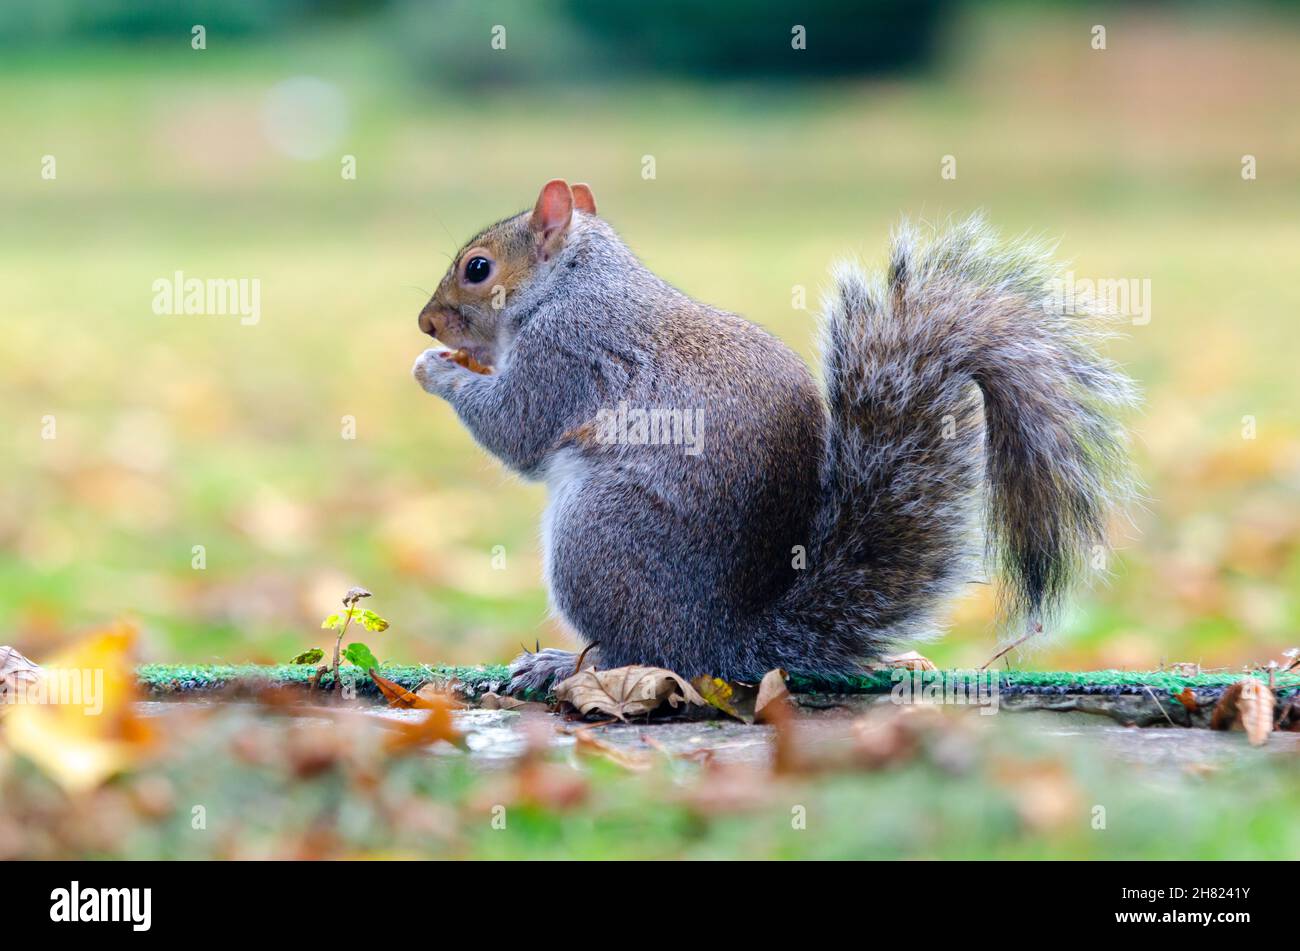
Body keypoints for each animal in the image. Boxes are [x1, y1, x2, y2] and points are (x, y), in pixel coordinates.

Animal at [413, 179, 1136, 695]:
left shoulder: (567, 350)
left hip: (596, 539)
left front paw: (434, 371)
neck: (572, 282)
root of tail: (728, 641)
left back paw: (564, 665)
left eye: (477, 268)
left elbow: (519, 424)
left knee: (646, 654)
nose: (425, 324)